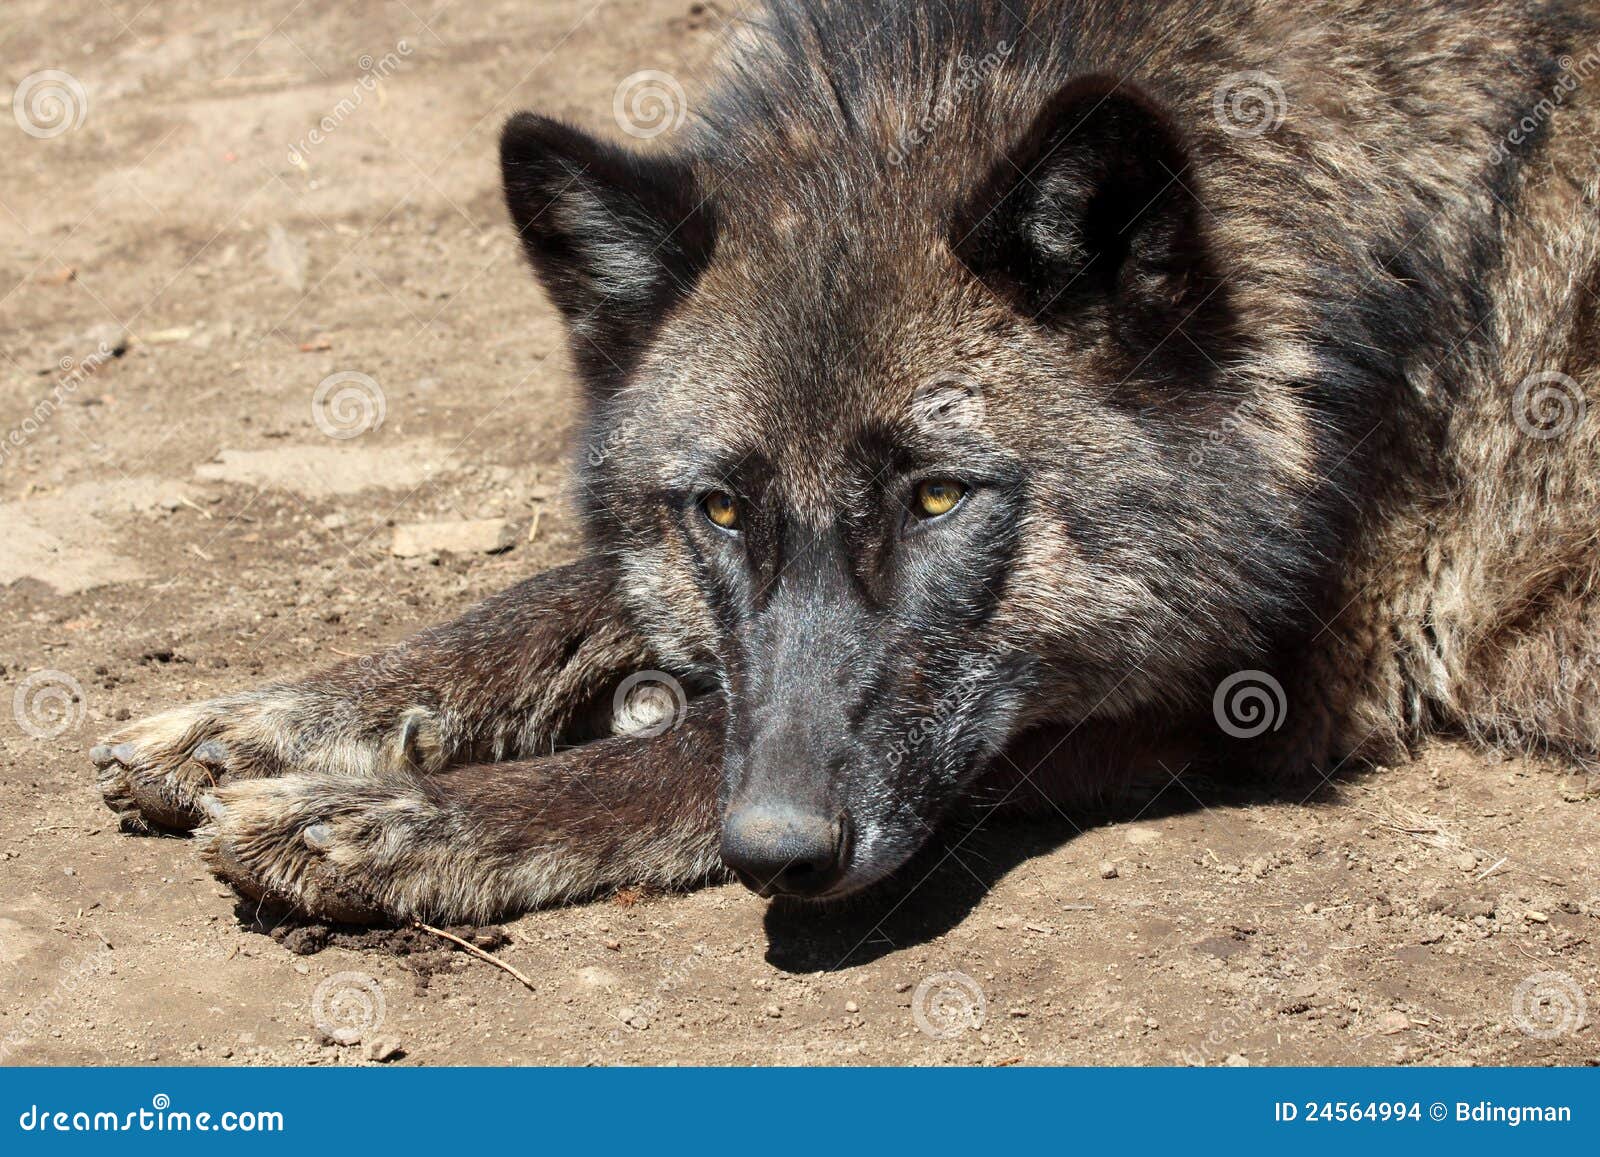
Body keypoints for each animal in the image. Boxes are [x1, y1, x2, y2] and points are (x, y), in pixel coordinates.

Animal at [92, 0, 1599, 923]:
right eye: (717, 508)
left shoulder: (1259, 682)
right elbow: (559, 592)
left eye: (937, 496)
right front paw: (264, 721)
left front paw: (386, 822)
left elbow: (673, 747)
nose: (777, 852)